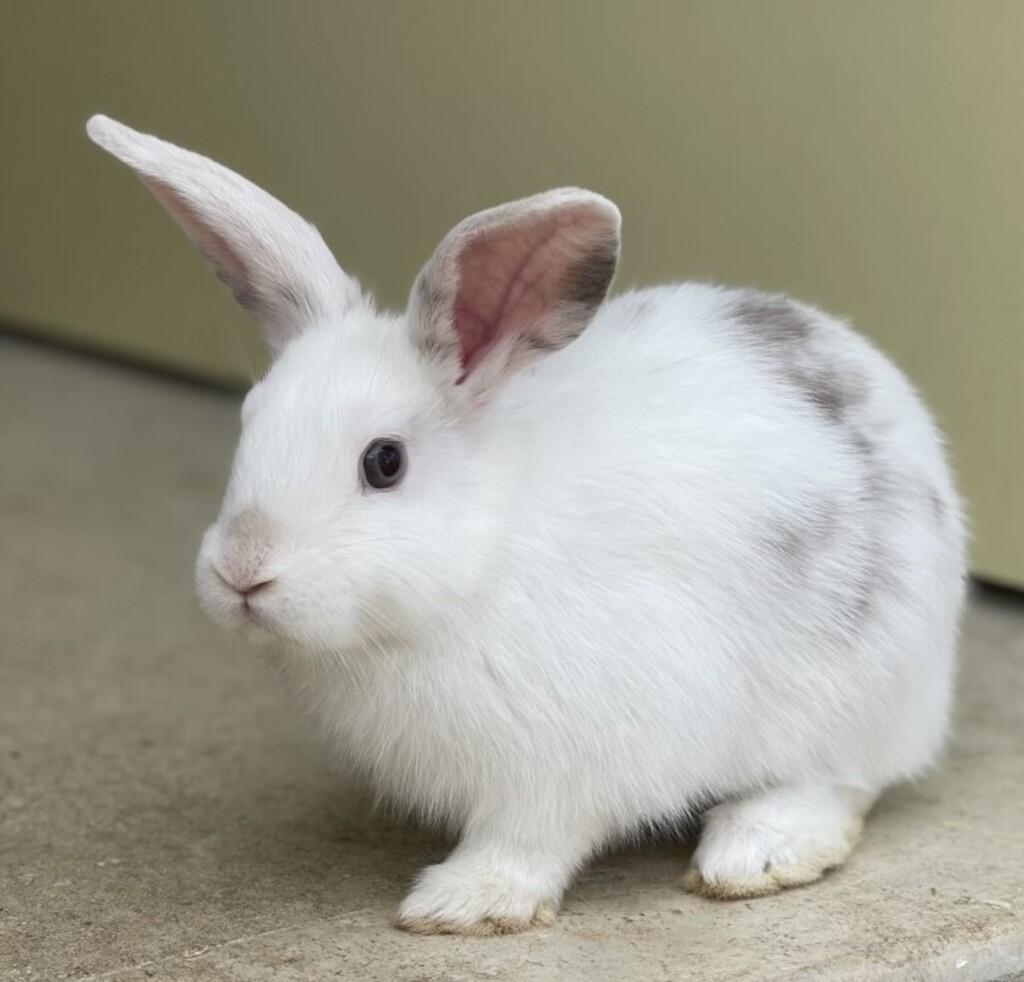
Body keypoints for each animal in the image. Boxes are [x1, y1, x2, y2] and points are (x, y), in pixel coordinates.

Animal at [87, 114, 966, 936]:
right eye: (249, 420)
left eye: (384, 462)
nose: (242, 568)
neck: (480, 561)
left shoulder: (566, 764)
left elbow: (530, 839)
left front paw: (462, 903)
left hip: (856, 689)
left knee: (842, 781)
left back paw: (754, 852)